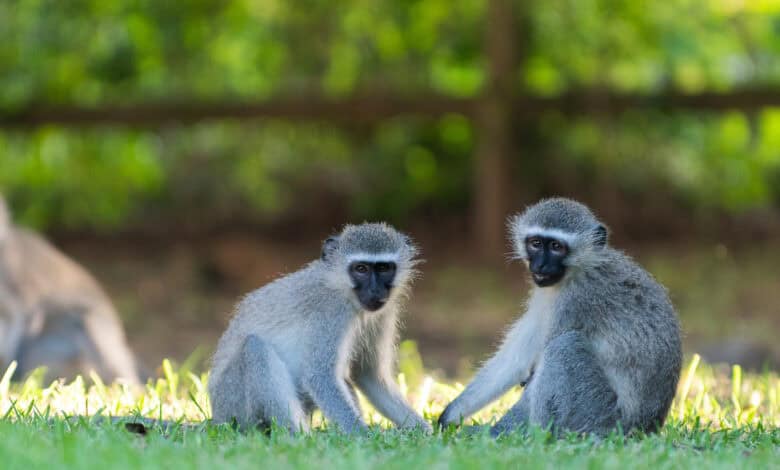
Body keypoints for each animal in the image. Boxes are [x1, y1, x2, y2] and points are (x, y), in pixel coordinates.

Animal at [208, 222, 431, 434]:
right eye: (361, 269)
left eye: (384, 268)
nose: (375, 291)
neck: (343, 288)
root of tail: (217, 415)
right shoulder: (331, 312)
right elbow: (320, 376)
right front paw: (364, 435)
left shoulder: (384, 313)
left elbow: (367, 373)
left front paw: (422, 430)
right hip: (232, 403)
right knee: (255, 348)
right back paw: (301, 436)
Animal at [438, 198, 682, 437]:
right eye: (536, 243)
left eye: (557, 247)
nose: (540, 265)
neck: (579, 269)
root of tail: (643, 429)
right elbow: (516, 359)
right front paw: (449, 416)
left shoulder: (576, 301)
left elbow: (537, 371)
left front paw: (493, 433)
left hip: (600, 416)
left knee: (564, 346)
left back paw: (537, 434)